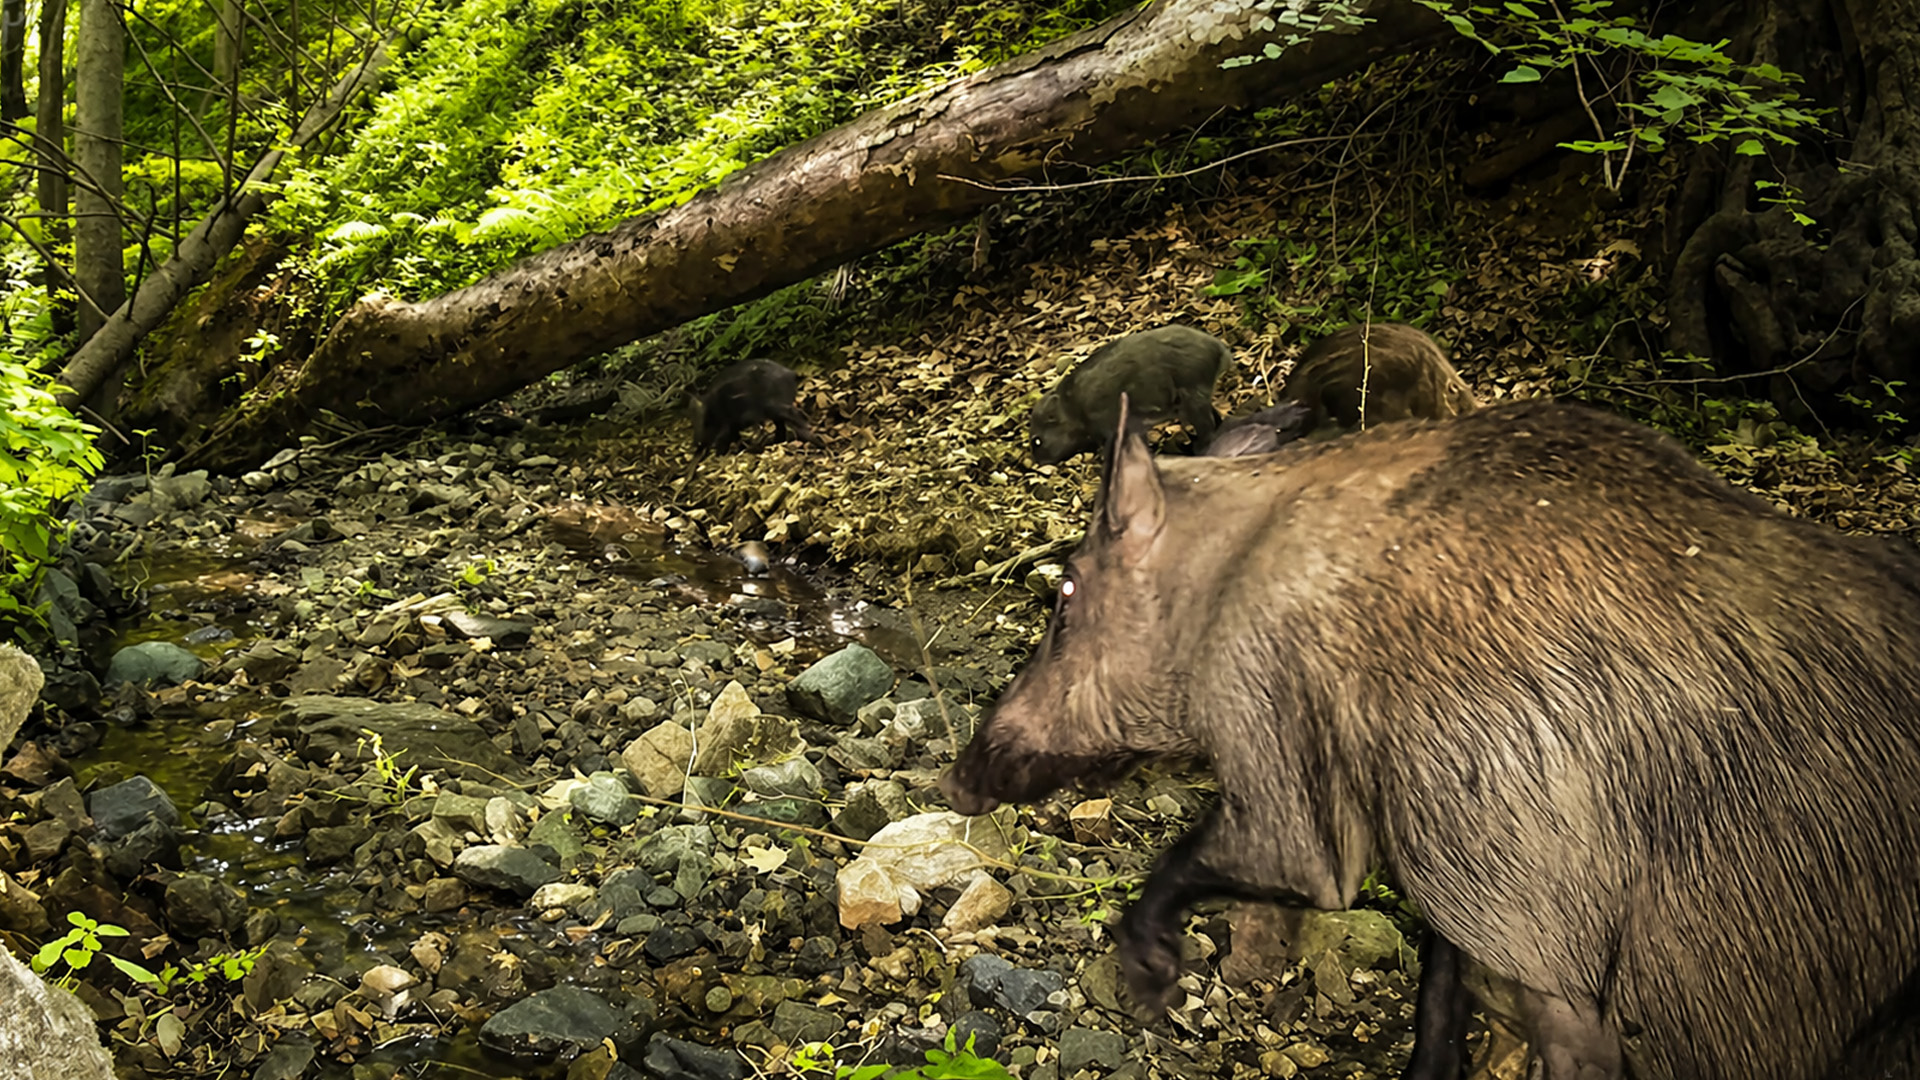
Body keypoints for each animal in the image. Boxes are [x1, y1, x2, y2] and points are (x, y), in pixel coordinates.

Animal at [941, 397, 1920, 1080]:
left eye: (1067, 590)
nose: (956, 778)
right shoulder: (1464, 883)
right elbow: (1438, 998)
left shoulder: (1284, 740)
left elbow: (1257, 865)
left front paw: (1153, 982)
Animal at [1028, 325, 1230, 464]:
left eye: (1037, 441)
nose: (1039, 463)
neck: (1073, 408)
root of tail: (1218, 348)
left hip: (1193, 400)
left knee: (1208, 428)